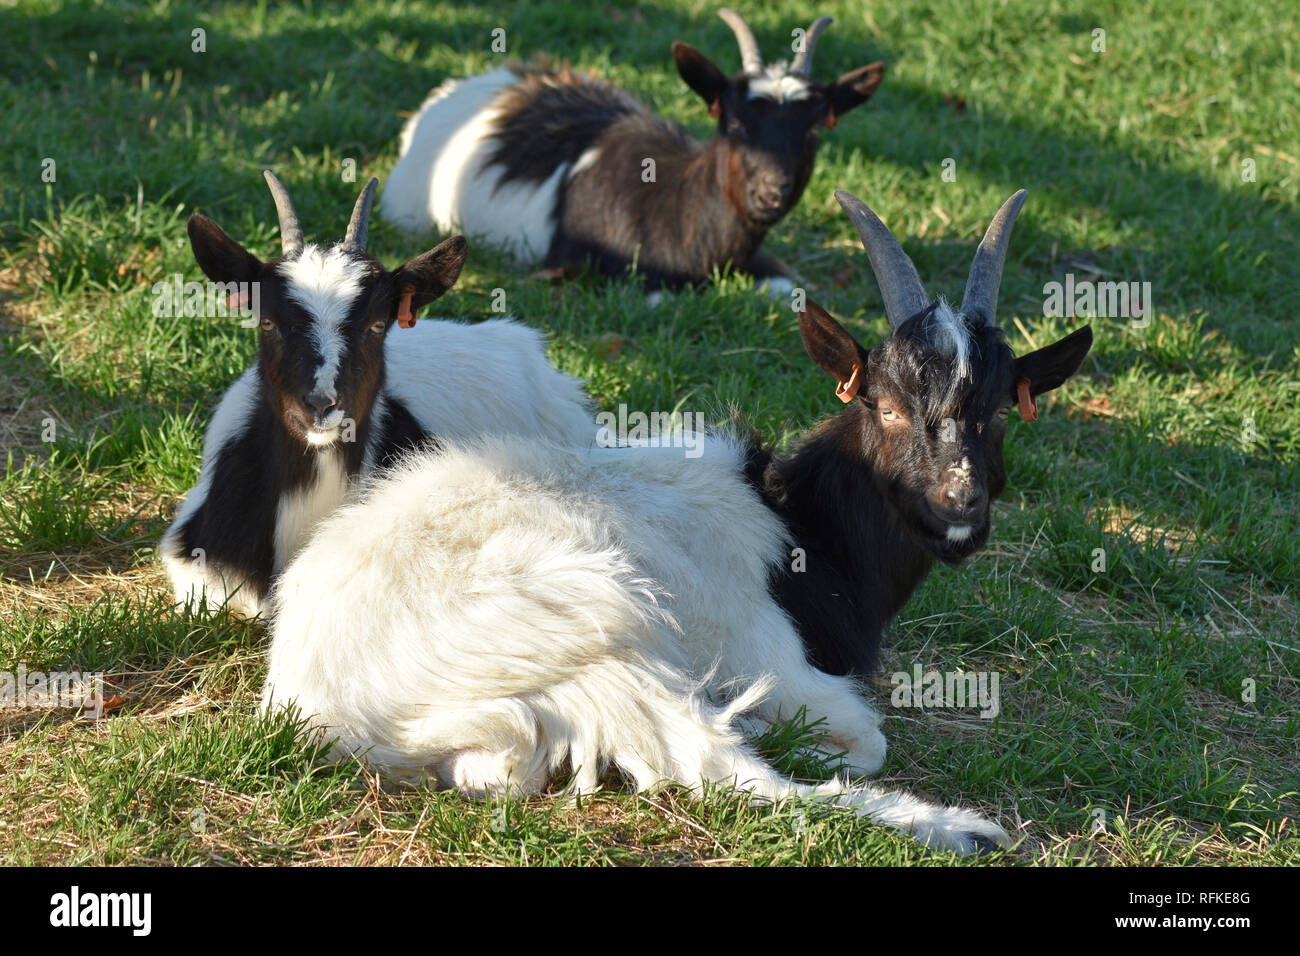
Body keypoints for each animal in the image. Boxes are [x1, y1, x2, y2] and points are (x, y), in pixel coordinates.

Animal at [262, 189, 1093, 854]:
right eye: (884, 406)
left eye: (1000, 413)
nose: (961, 507)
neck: (802, 533)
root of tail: (325, 699)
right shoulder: (781, 664)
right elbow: (866, 738)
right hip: (600, 624)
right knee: (728, 772)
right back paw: (964, 829)